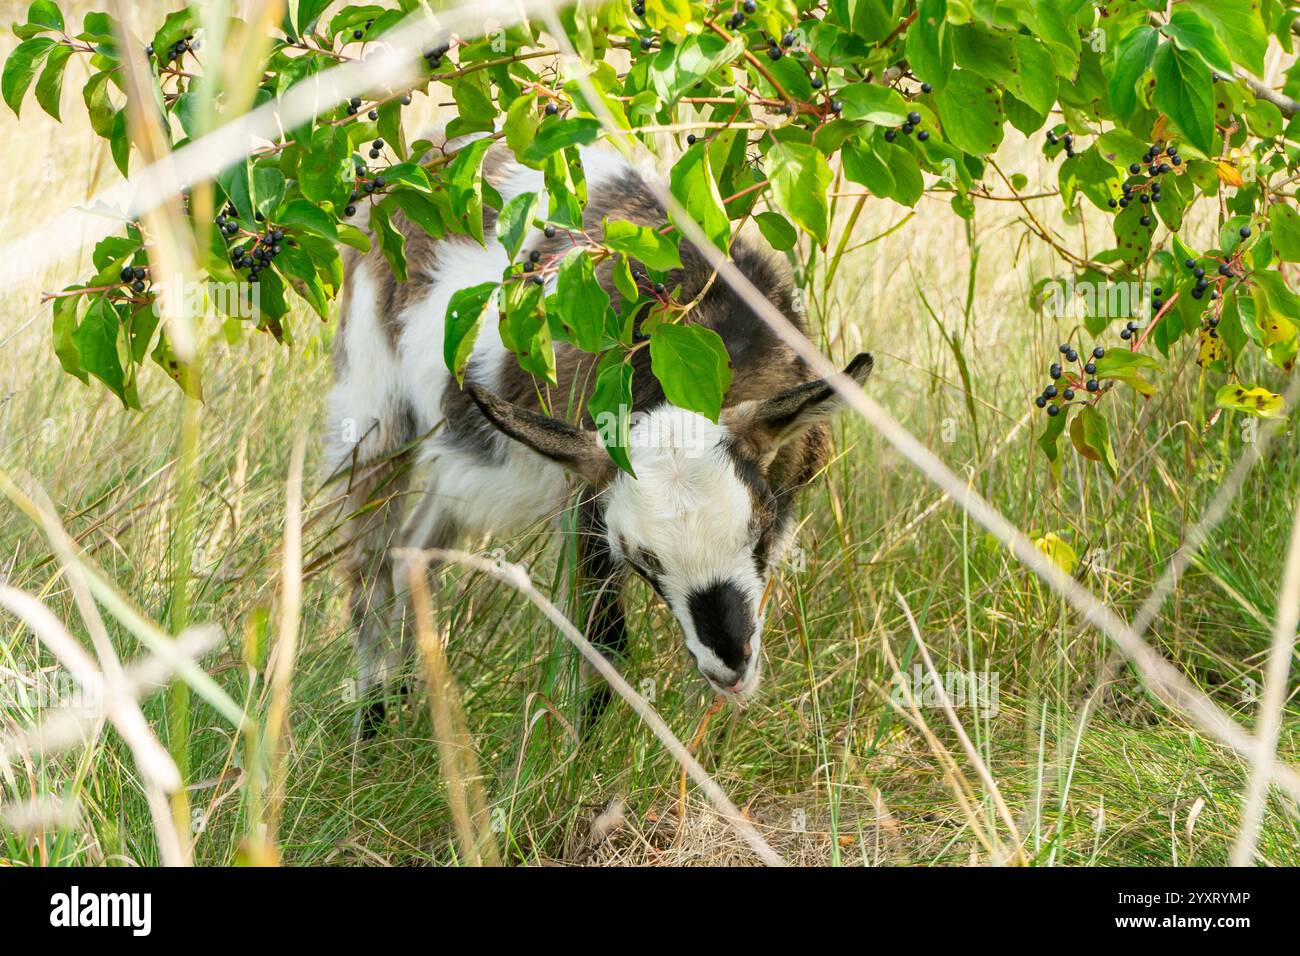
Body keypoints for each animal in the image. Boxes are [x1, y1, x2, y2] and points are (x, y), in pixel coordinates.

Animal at [324, 138, 873, 734]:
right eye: (643, 560)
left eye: (759, 533)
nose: (729, 665)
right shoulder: (586, 507)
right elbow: (604, 642)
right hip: (375, 410)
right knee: (368, 571)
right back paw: (371, 728)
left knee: (412, 555)